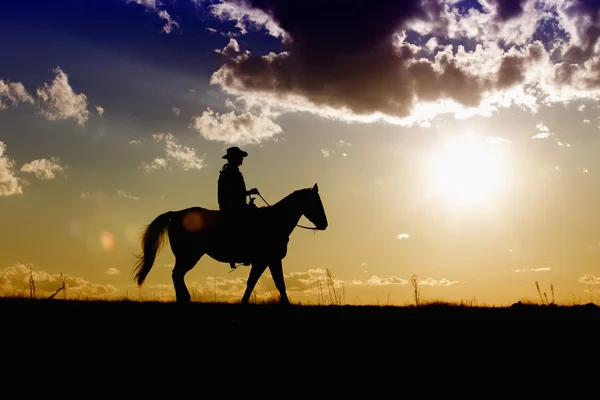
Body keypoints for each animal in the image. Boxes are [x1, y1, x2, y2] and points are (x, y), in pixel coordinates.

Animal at [133, 184, 328, 304]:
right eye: (316, 202)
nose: (324, 224)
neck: (274, 221)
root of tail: (175, 214)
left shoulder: (266, 261)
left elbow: (257, 283)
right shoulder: (268, 260)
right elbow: (276, 283)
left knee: (177, 275)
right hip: (189, 256)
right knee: (177, 274)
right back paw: (184, 299)